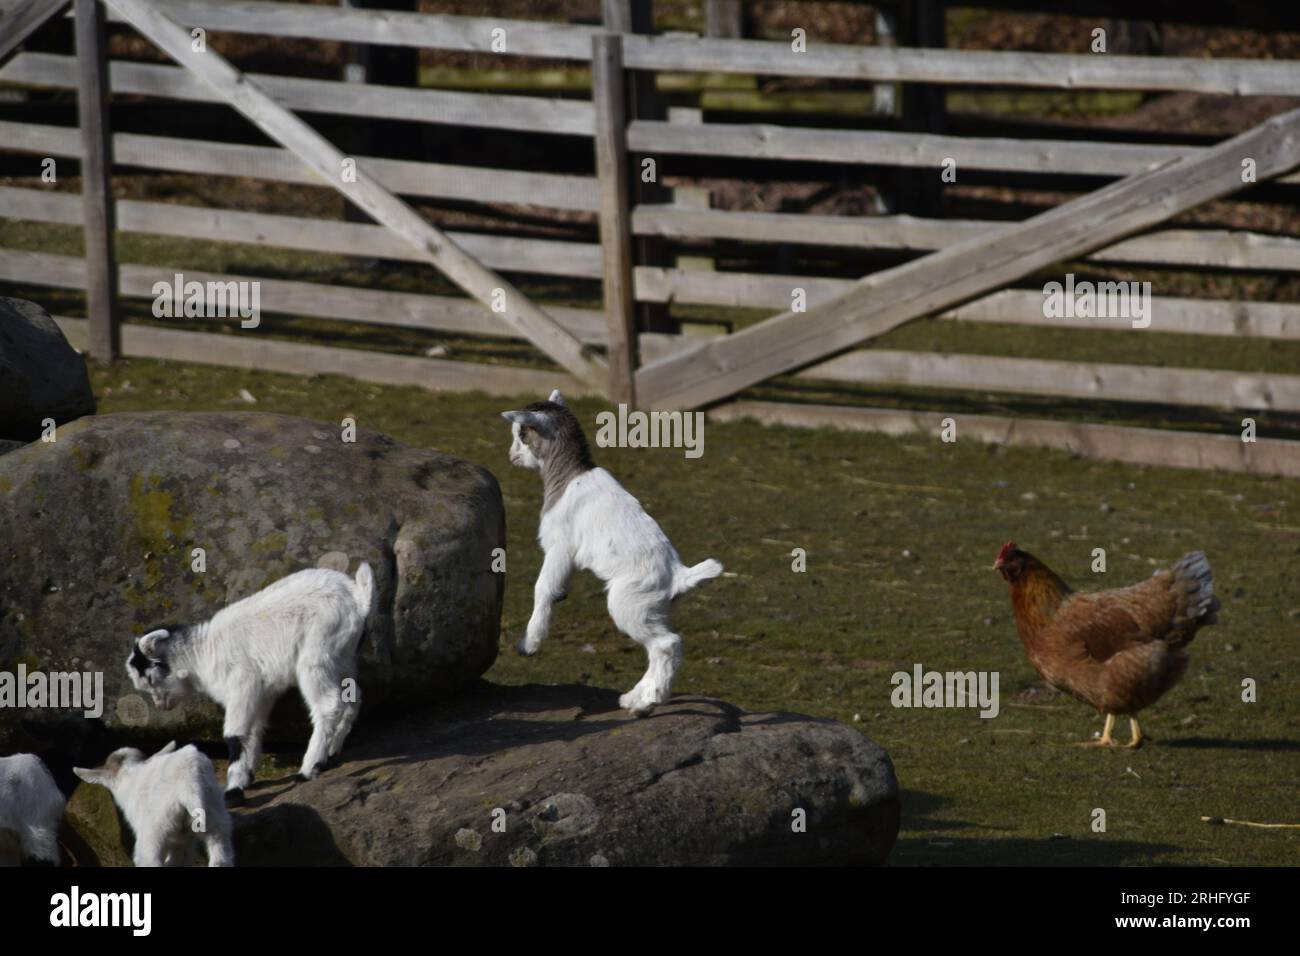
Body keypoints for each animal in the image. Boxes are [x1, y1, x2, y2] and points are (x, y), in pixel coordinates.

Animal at [74, 741, 234, 867]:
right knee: (220, 858)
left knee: (150, 861)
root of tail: (189, 784)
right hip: (215, 818)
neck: (129, 775)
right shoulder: (181, 842)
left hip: (154, 831)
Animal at [125, 563, 373, 805]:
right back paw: (331, 753)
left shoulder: (242, 684)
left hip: (317, 653)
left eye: (149, 679)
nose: (160, 705)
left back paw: (309, 767)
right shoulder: (262, 692)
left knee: (329, 705)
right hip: (343, 657)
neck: (203, 654)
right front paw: (246, 776)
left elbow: (234, 736)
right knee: (353, 698)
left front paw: (233, 790)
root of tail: (358, 599)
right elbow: (254, 731)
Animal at [502, 389, 723, 716]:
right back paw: (637, 699)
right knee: (662, 648)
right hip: (654, 609)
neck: (568, 477)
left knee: (667, 644)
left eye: (521, 434)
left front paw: (529, 643)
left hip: (629, 603)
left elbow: (543, 587)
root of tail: (680, 576)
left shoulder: (559, 546)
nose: (511, 456)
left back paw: (647, 700)